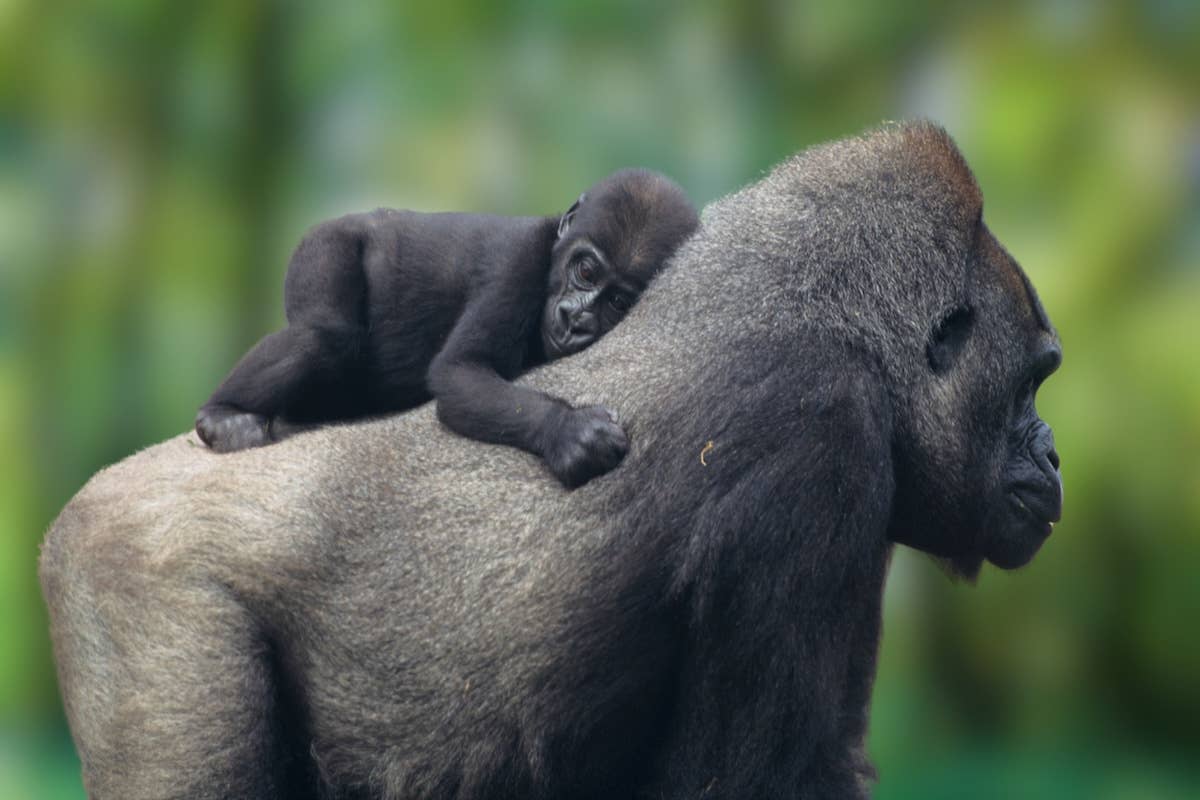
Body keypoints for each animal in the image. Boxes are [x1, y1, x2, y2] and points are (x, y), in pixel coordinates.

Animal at [195, 168, 699, 488]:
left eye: (617, 302)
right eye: (587, 271)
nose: (575, 319)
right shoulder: (516, 264)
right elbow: (459, 371)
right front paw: (569, 431)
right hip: (324, 243)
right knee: (323, 334)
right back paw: (220, 414)